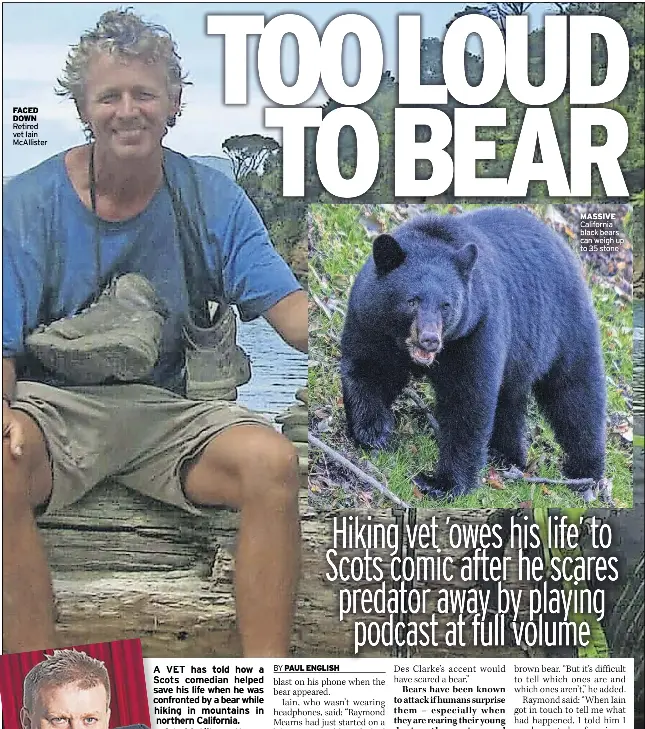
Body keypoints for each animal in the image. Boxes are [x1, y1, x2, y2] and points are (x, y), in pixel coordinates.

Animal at [340, 207, 606, 499]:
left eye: (446, 305)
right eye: (412, 301)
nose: (430, 340)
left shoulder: (476, 330)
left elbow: (468, 400)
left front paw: (442, 483)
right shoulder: (371, 321)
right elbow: (368, 368)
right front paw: (373, 431)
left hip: (566, 331)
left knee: (576, 396)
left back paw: (584, 472)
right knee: (510, 400)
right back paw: (507, 454)